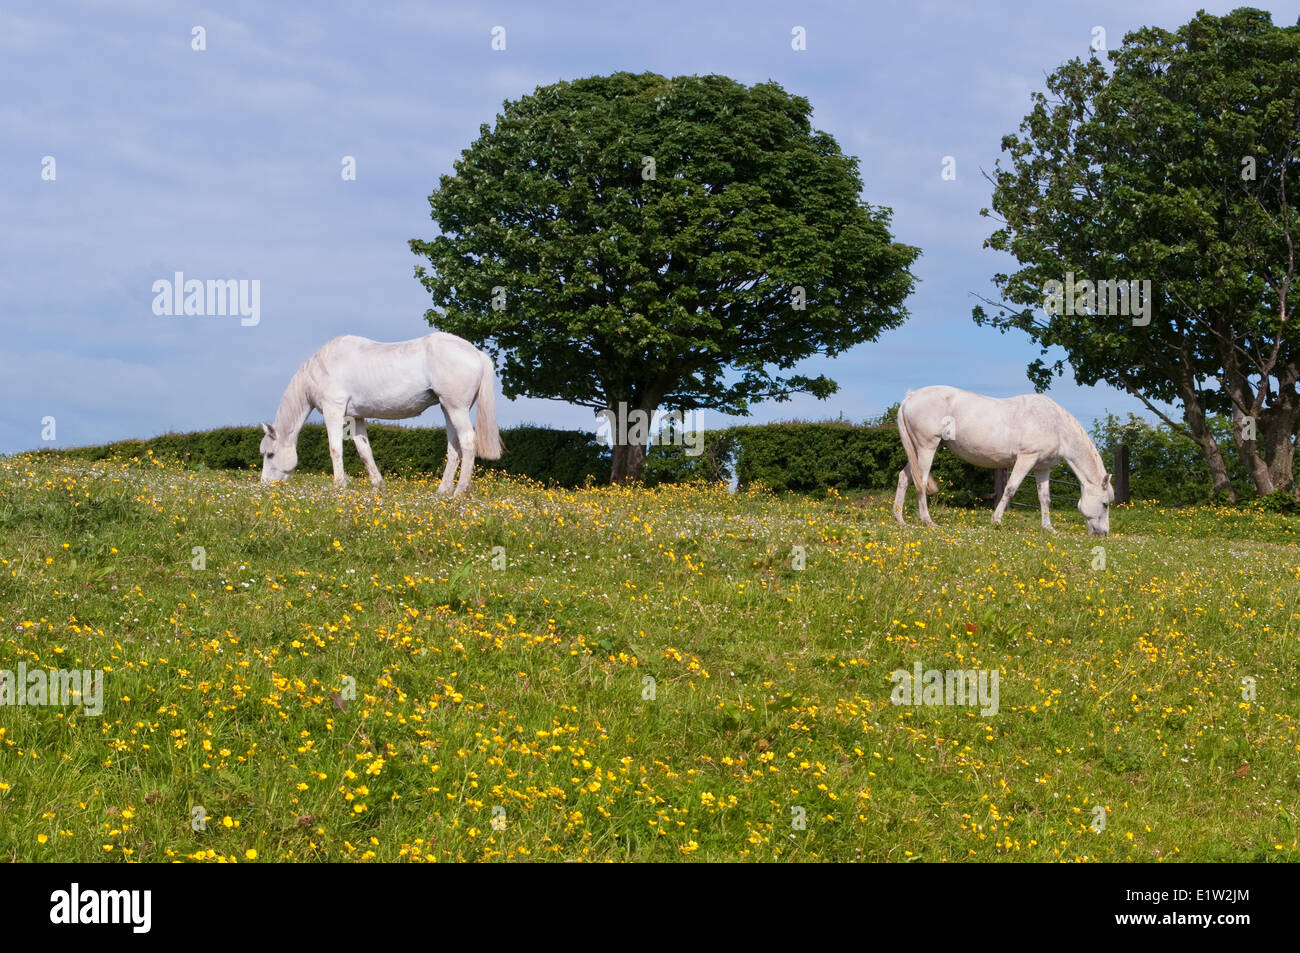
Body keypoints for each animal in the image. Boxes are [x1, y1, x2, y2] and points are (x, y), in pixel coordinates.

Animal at [259, 331, 504, 496]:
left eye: (270, 454)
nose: (264, 486)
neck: (322, 366)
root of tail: (477, 353)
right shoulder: (356, 417)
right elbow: (364, 451)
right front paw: (378, 485)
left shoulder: (333, 411)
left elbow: (335, 449)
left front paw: (339, 486)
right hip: (448, 408)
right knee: (454, 448)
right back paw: (442, 491)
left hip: (456, 409)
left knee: (468, 442)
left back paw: (460, 491)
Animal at [892, 385, 1114, 535]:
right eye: (1105, 504)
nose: (1103, 533)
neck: (1055, 424)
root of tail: (910, 398)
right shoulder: (1026, 458)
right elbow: (1010, 489)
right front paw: (996, 520)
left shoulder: (1042, 468)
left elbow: (1044, 498)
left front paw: (1048, 528)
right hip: (927, 448)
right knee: (920, 482)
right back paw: (928, 521)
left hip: (919, 451)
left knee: (904, 478)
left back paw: (900, 519)